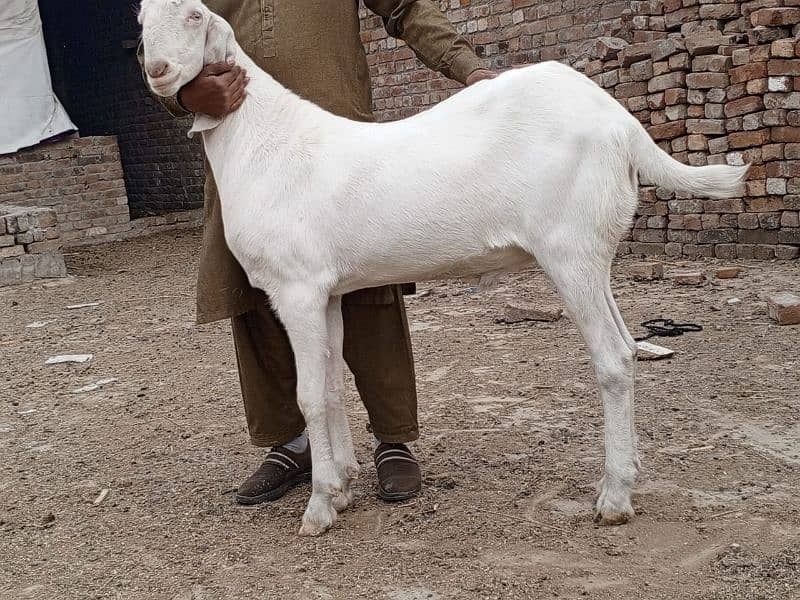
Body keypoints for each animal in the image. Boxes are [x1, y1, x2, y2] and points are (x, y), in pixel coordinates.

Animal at [139, 0, 748, 536]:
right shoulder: (326, 290)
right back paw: (630, 474)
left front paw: (319, 508)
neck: (263, 140)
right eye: (141, 20)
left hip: (570, 251)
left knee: (614, 358)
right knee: (629, 344)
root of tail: (620, 123)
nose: (158, 71)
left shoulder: (296, 289)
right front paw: (341, 486)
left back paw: (614, 498)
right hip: (594, 257)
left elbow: (309, 393)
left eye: (195, 15)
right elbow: (331, 385)